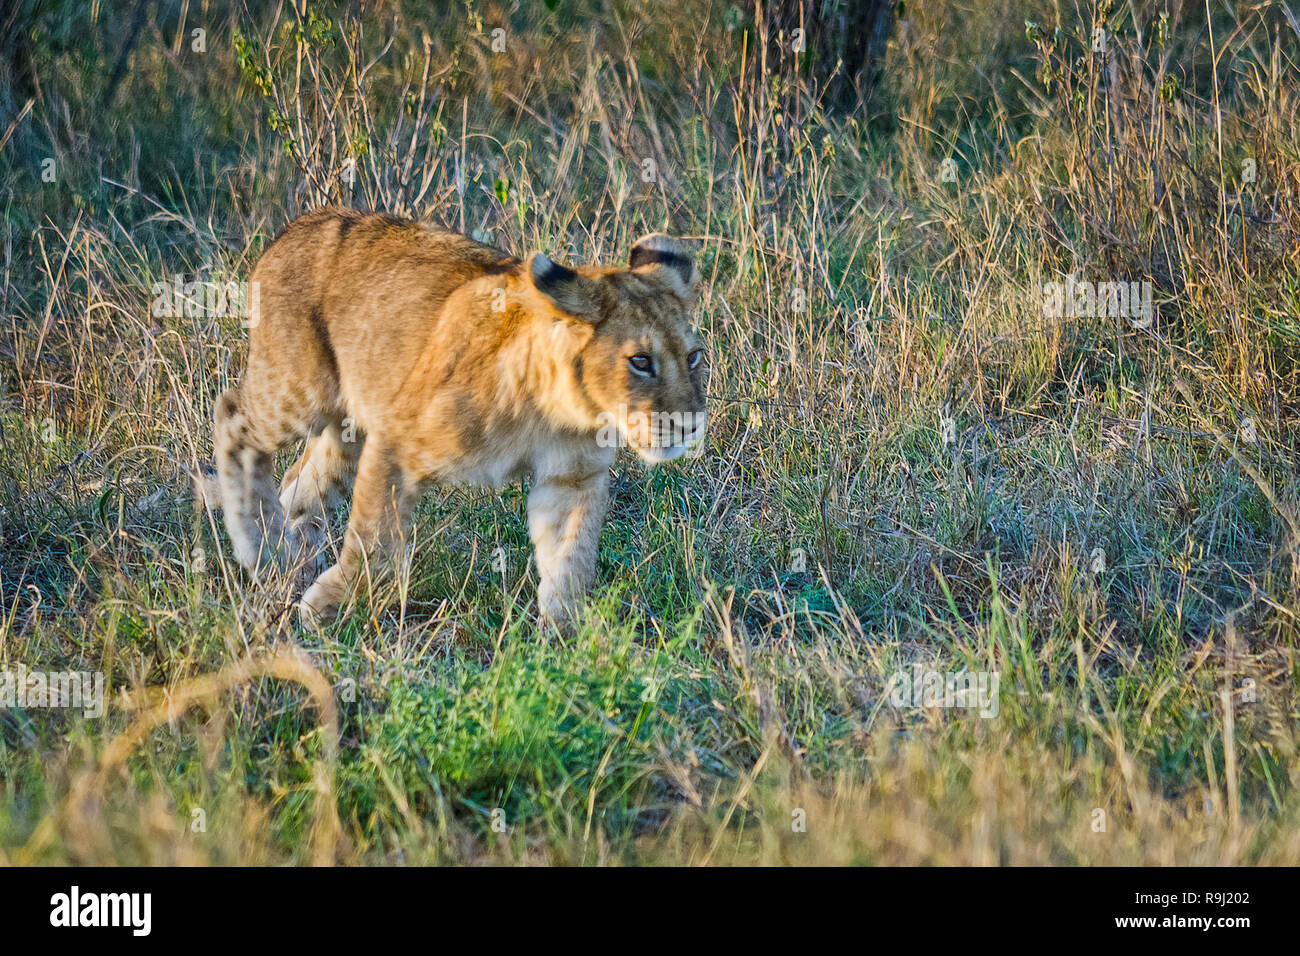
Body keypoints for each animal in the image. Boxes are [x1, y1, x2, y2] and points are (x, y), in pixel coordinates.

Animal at [210, 207, 707, 628]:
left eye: (694, 357)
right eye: (640, 361)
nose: (689, 425)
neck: (555, 408)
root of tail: (301, 223)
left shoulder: (573, 479)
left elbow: (572, 558)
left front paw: (564, 641)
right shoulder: (395, 442)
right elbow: (375, 542)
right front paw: (329, 604)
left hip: (348, 424)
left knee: (302, 486)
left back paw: (285, 560)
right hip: (299, 391)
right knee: (232, 416)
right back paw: (259, 550)